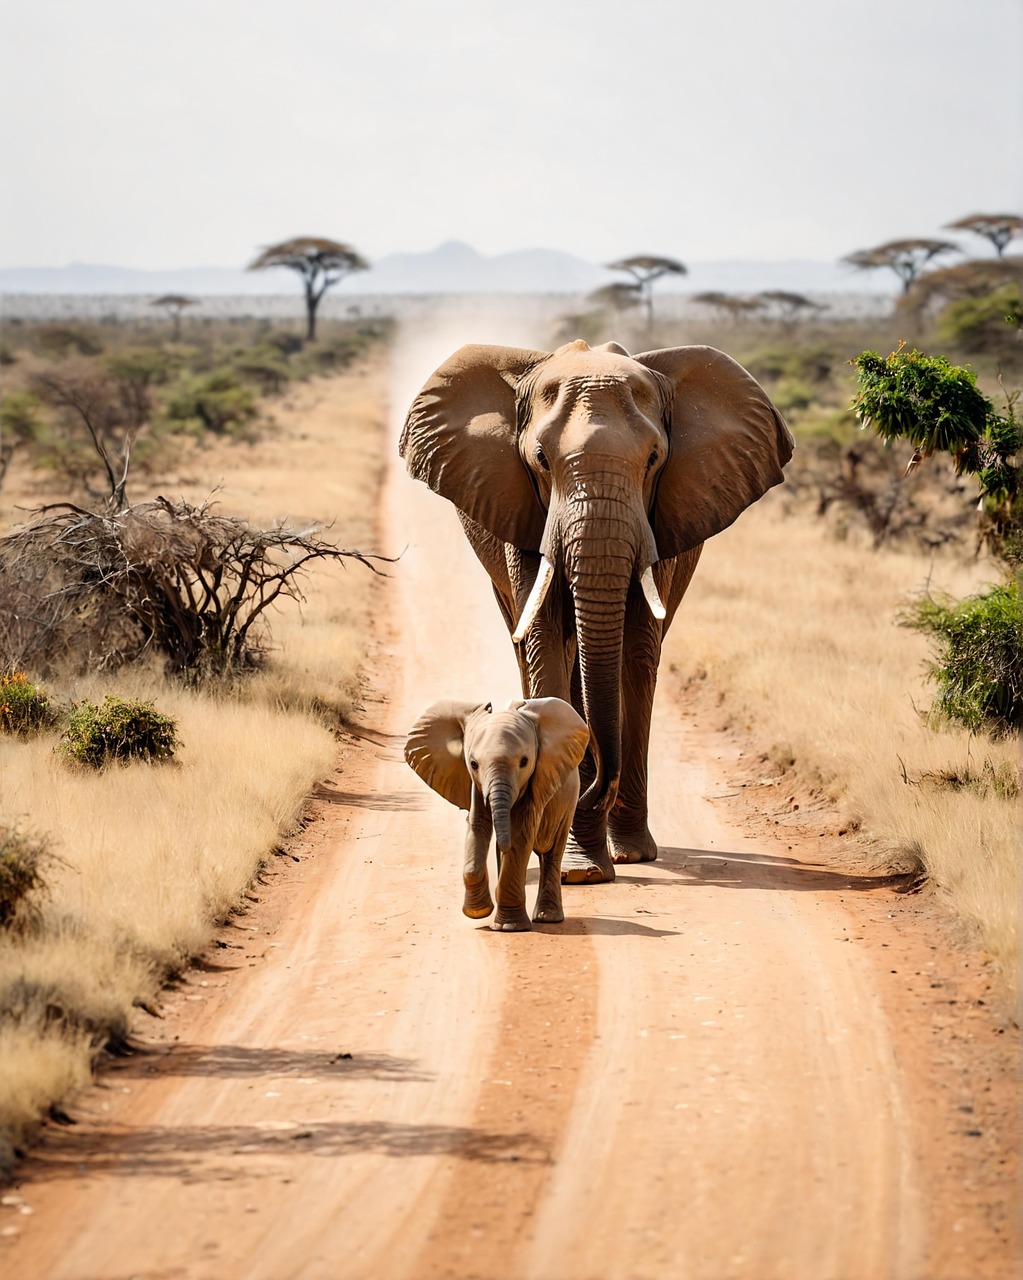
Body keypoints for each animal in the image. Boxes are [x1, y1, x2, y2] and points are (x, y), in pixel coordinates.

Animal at [400, 339, 793, 885]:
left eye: (654, 460)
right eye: (541, 459)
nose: (588, 792)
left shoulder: (659, 520)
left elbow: (637, 649)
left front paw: (611, 859)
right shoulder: (522, 508)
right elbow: (544, 640)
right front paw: (577, 863)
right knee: (536, 649)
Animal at [405, 697, 590, 931]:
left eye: (524, 762)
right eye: (473, 764)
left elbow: (520, 835)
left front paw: (510, 927)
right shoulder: (474, 784)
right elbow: (478, 825)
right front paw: (479, 912)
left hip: (569, 799)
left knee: (552, 852)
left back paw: (547, 917)